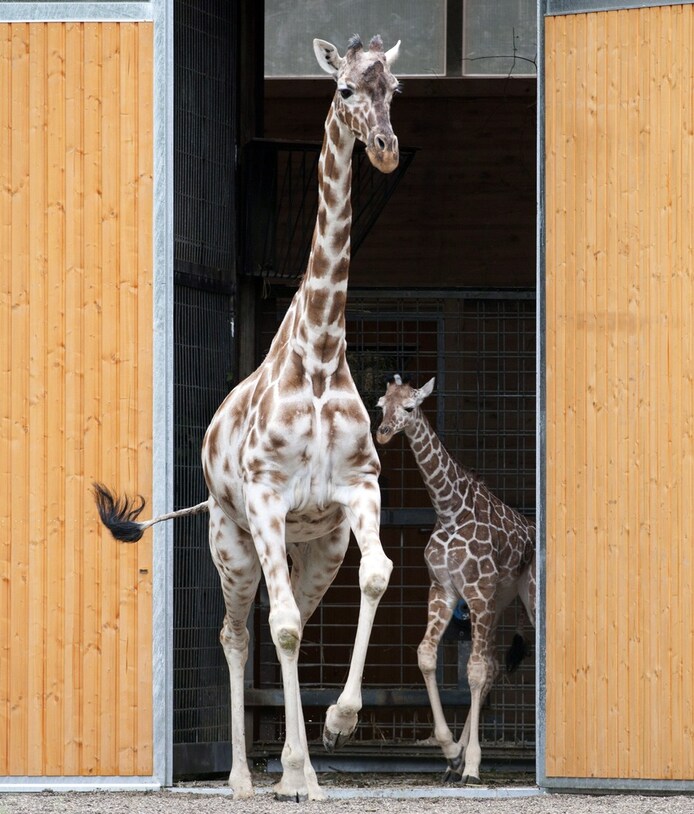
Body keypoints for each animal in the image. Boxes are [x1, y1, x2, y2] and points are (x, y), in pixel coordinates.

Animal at [93, 35, 402, 802]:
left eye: (395, 89)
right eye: (345, 90)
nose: (385, 148)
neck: (318, 357)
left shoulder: (360, 487)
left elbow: (376, 575)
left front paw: (339, 725)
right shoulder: (265, 498)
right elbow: (281, 627)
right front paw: (298, 767)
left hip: (315, 547)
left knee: (291, 618)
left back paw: (296, 769)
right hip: (230, 540)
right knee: (240, 633)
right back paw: (240, 777)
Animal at [376, 375, 536, 785]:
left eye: (410, 407)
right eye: (381, 404)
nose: (382, 433)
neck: (449, 510)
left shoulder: (477, 592)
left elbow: (474, 672)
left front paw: (474, 766)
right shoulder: (443, 589)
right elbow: (426, 656)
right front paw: (450, 753)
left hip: (525, 596)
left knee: (497, 664)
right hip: (498, 602)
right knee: (493, 666)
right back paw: (459, 757)